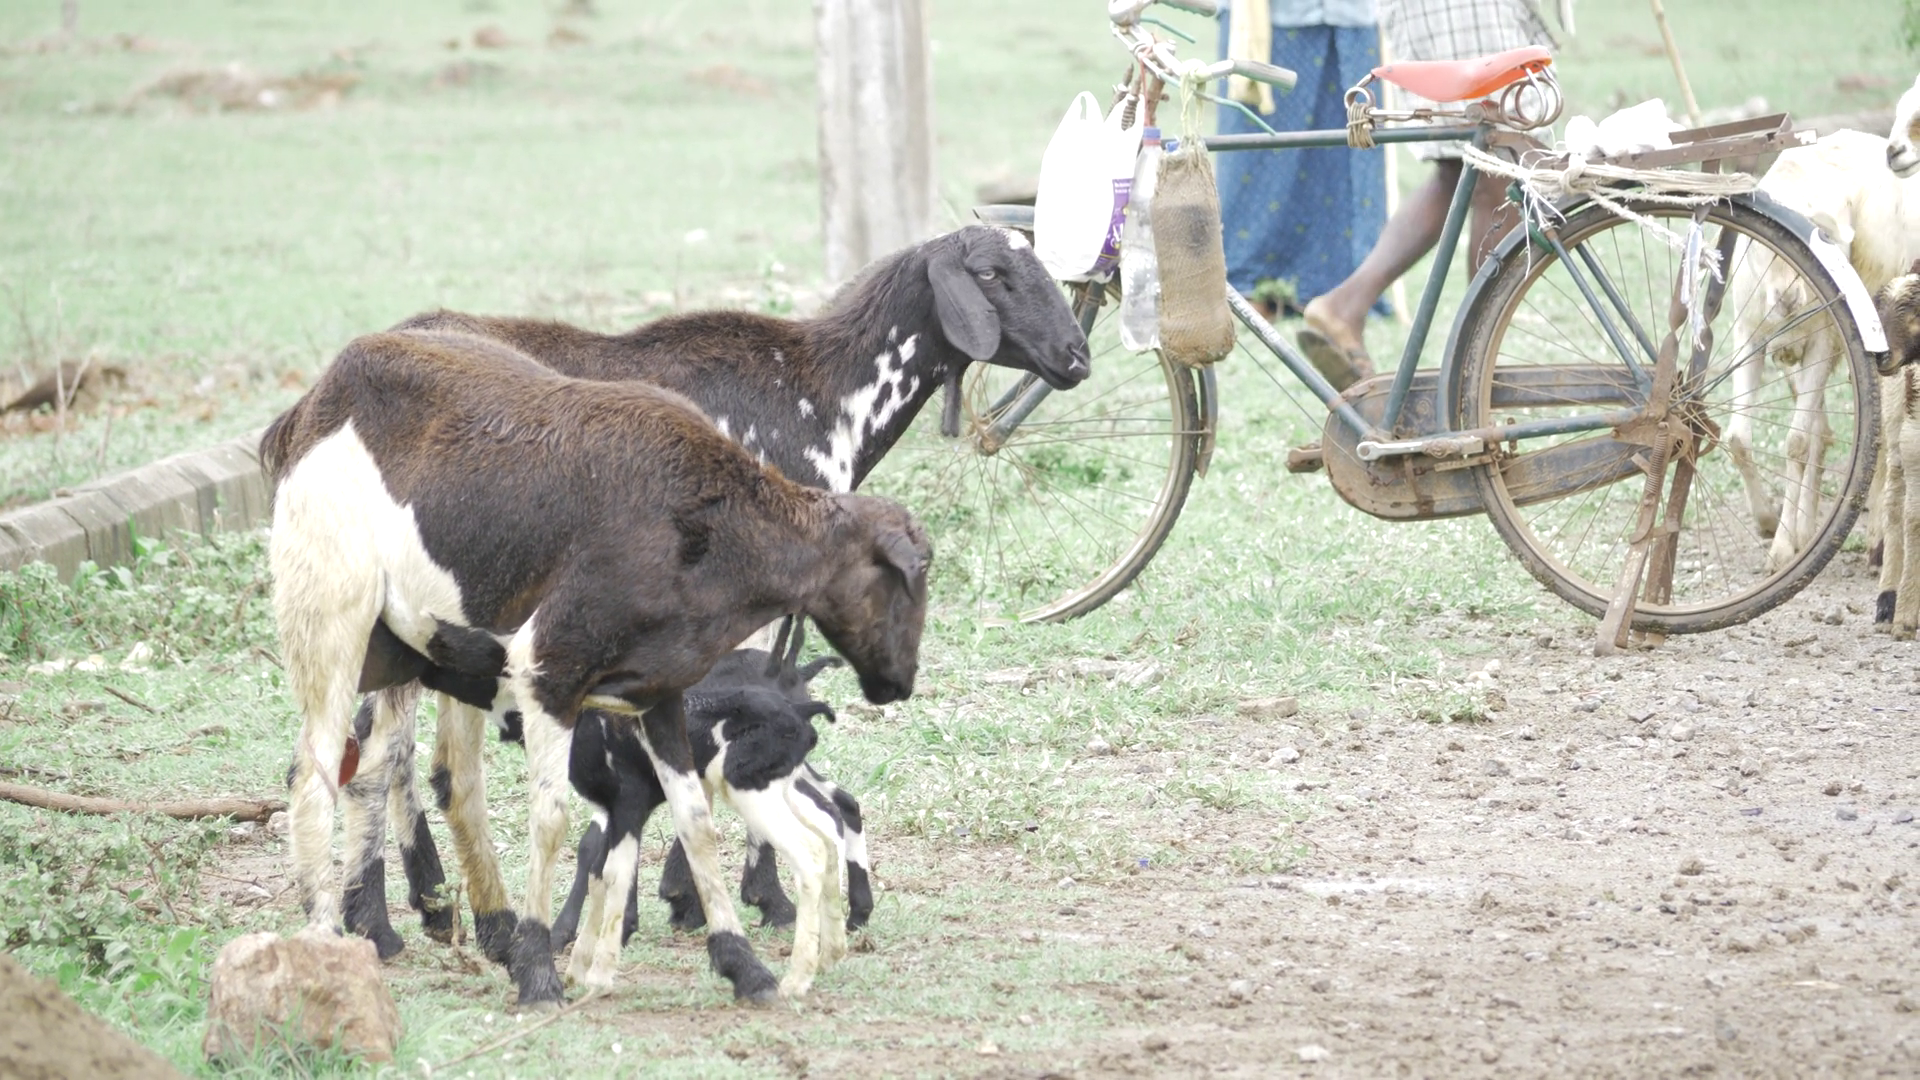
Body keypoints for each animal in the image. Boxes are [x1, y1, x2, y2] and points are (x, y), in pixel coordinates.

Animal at [262, 328, 930, 1005]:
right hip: (331, 619)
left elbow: (694, 820)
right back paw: (334, 940)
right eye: (915, 572)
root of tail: (316, 401)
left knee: (391, 771)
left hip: (406, 648)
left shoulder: (659, 692)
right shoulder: (548, 671)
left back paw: (413, 931)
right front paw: (538, 971)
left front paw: (742, 965)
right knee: (314, 774)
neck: (709, 526)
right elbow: (552, 821)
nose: (898, 684)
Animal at [345, 223, 1083, 961]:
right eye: (989, 274)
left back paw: (425, 906)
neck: (822, 393)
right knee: (386, 751)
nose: (1075, 356)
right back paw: (386, 920)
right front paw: (739, 897)